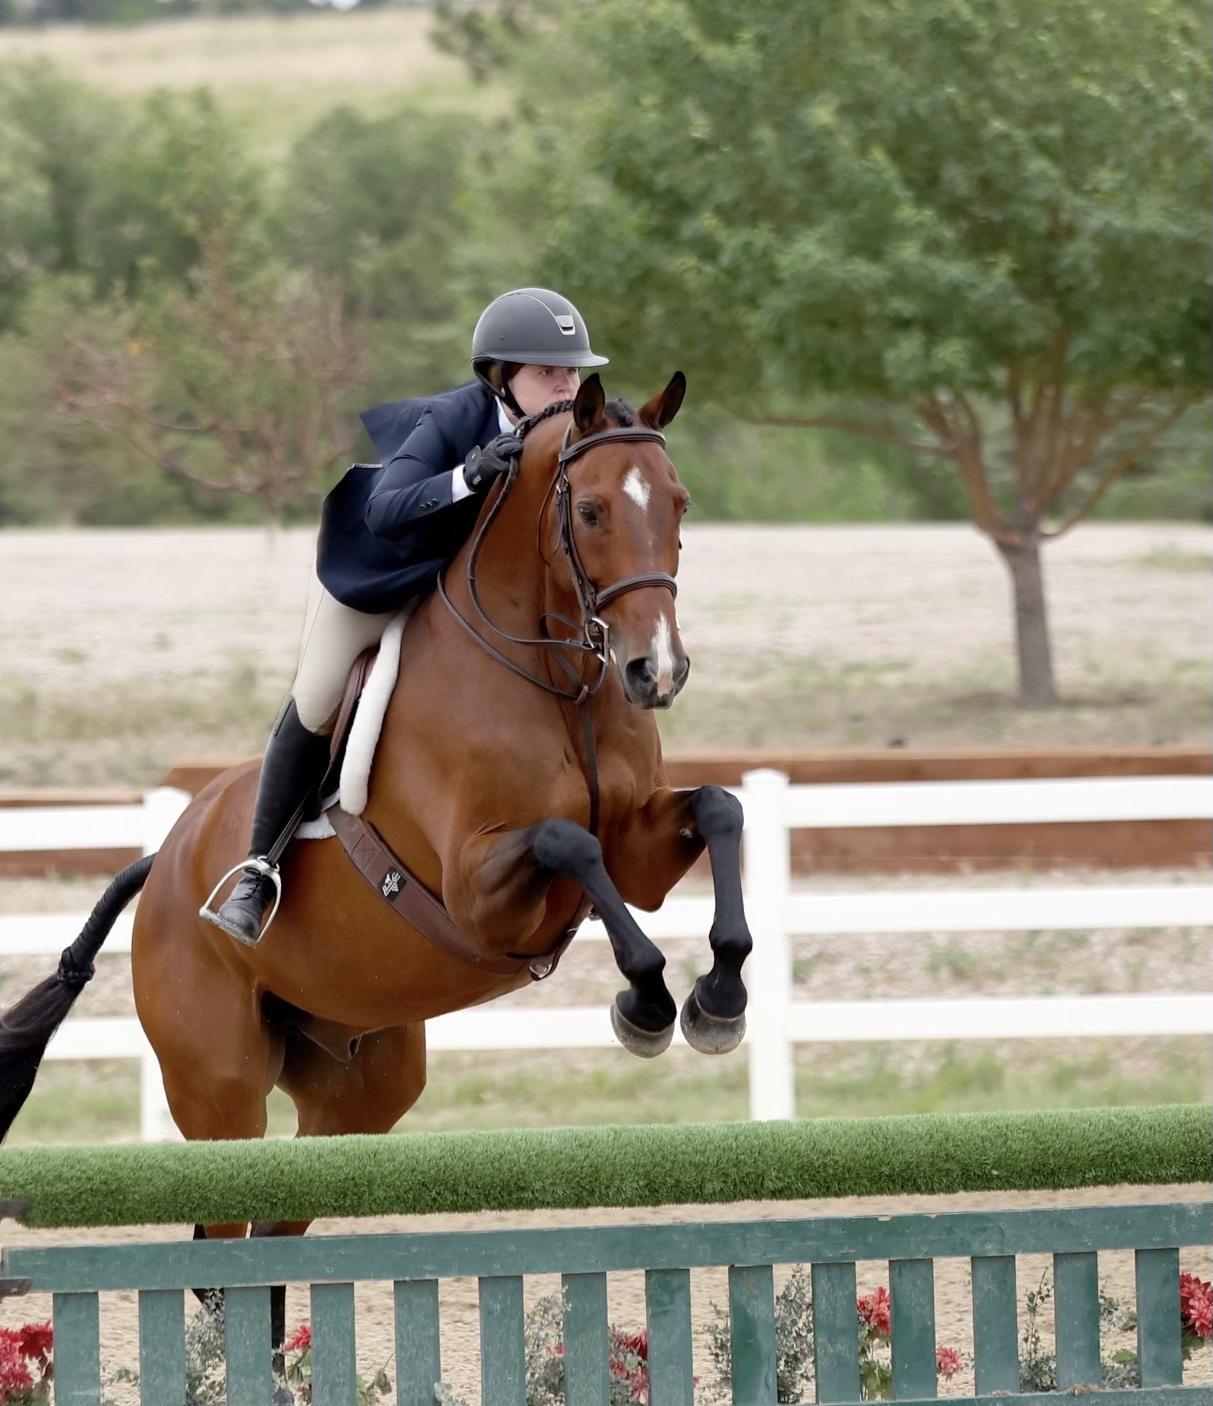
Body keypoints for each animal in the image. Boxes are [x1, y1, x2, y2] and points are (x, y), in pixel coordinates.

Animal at [0, 372, 752, 1262]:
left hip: (360, 1084)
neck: (557, 677)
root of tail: (164, 864)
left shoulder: (637, 851)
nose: (655, 672)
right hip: (219, 1087)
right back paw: (247, 898)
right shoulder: (477, 894)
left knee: (279, 1219)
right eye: (594, 510)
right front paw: (645, 1003)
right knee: (222, 1226)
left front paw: (718, 996)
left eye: (679, 503)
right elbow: (569, 843)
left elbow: (719, 809)